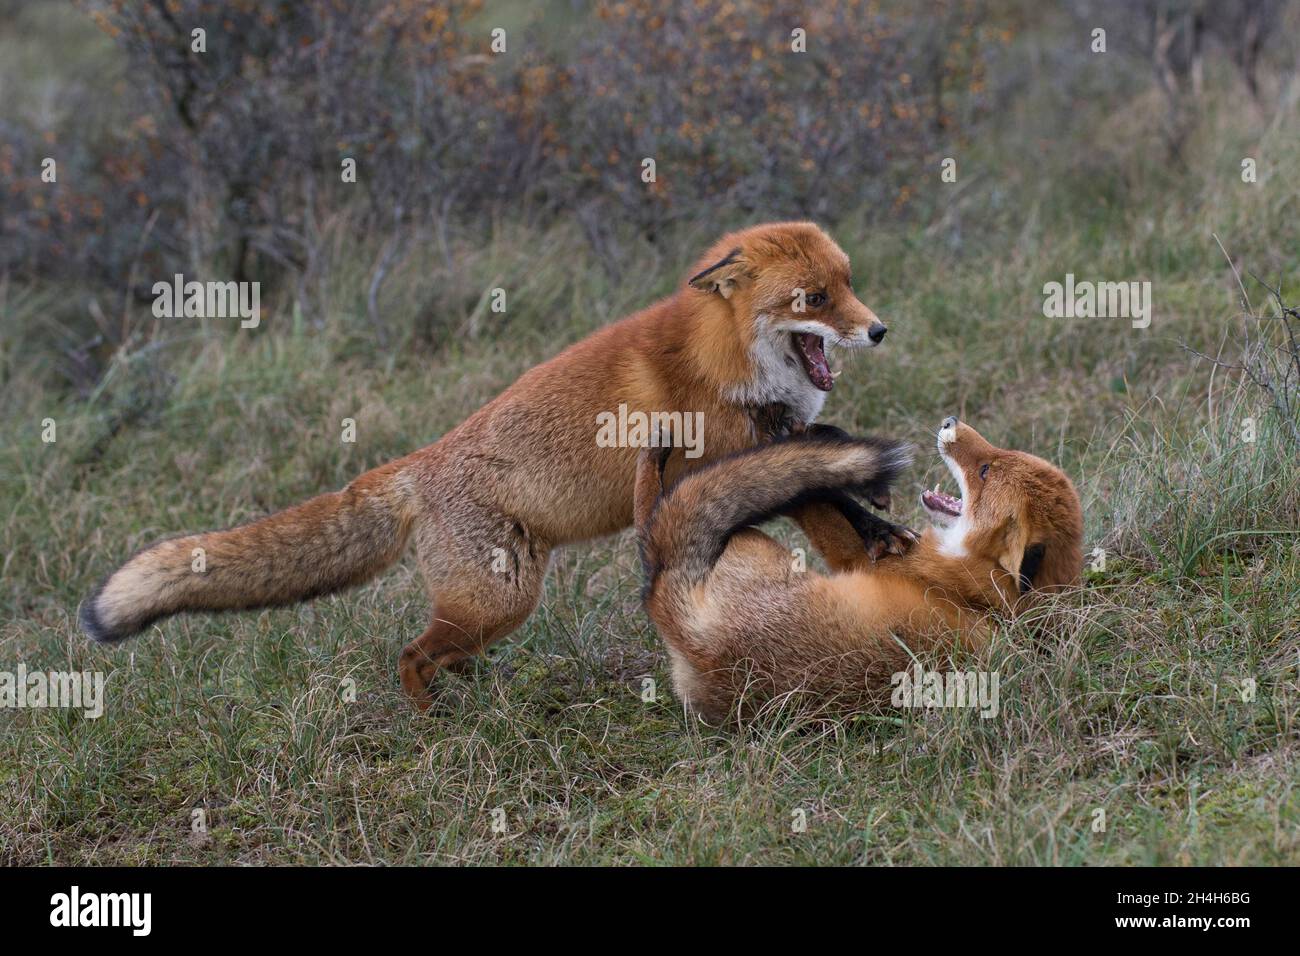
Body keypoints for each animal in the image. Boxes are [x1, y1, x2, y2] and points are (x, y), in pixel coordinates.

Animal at [80, 221, 906, 709]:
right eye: (813, 298)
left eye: (850, 283)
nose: (879, 330)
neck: (724, 360)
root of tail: (418, 463)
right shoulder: (715, 469)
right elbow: (820, 497)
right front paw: (874, 550)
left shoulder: (771, 446)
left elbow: (834, 492)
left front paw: (883, 541)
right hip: (500, 597)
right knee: (410, 655)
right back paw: (432, 721)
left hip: (490, 606)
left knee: (438, 651)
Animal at [633, 416, 1084, 722]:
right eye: (1000, 455)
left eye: (986, 470)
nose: (949, 422)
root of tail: (694, 638)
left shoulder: (854, 559)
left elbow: (818, 508)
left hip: (746, 544)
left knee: (656, 520)